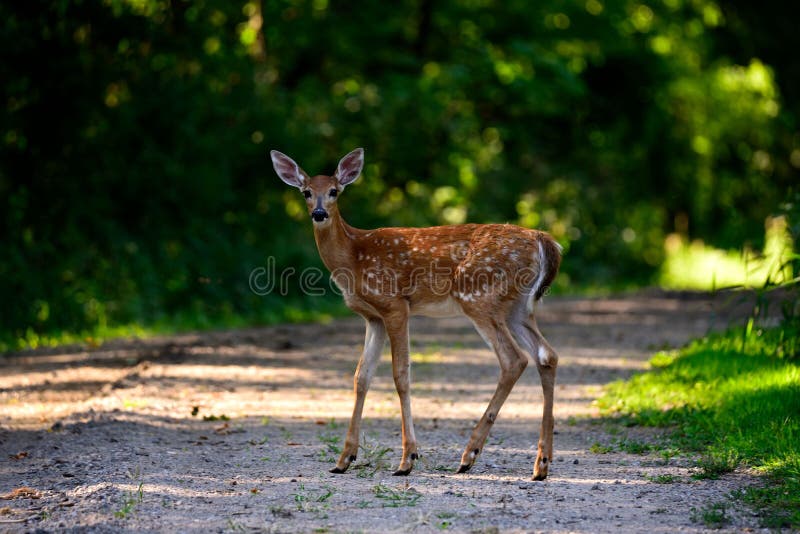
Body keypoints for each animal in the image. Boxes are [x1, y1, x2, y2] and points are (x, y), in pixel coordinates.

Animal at [270, 147, 562, 480]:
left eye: (334, 191)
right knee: (546, 355)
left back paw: (469, 455)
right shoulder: (372, 317)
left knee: (514, 359)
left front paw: (407, 459)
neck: (353, 256)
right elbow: (362, 376)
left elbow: (401, 375)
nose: (319, 213)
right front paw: (344, 459)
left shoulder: (395, 304)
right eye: (306, 192)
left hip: (478, 297)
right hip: (518, 307)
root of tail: (544, 240)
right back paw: (540, 464)